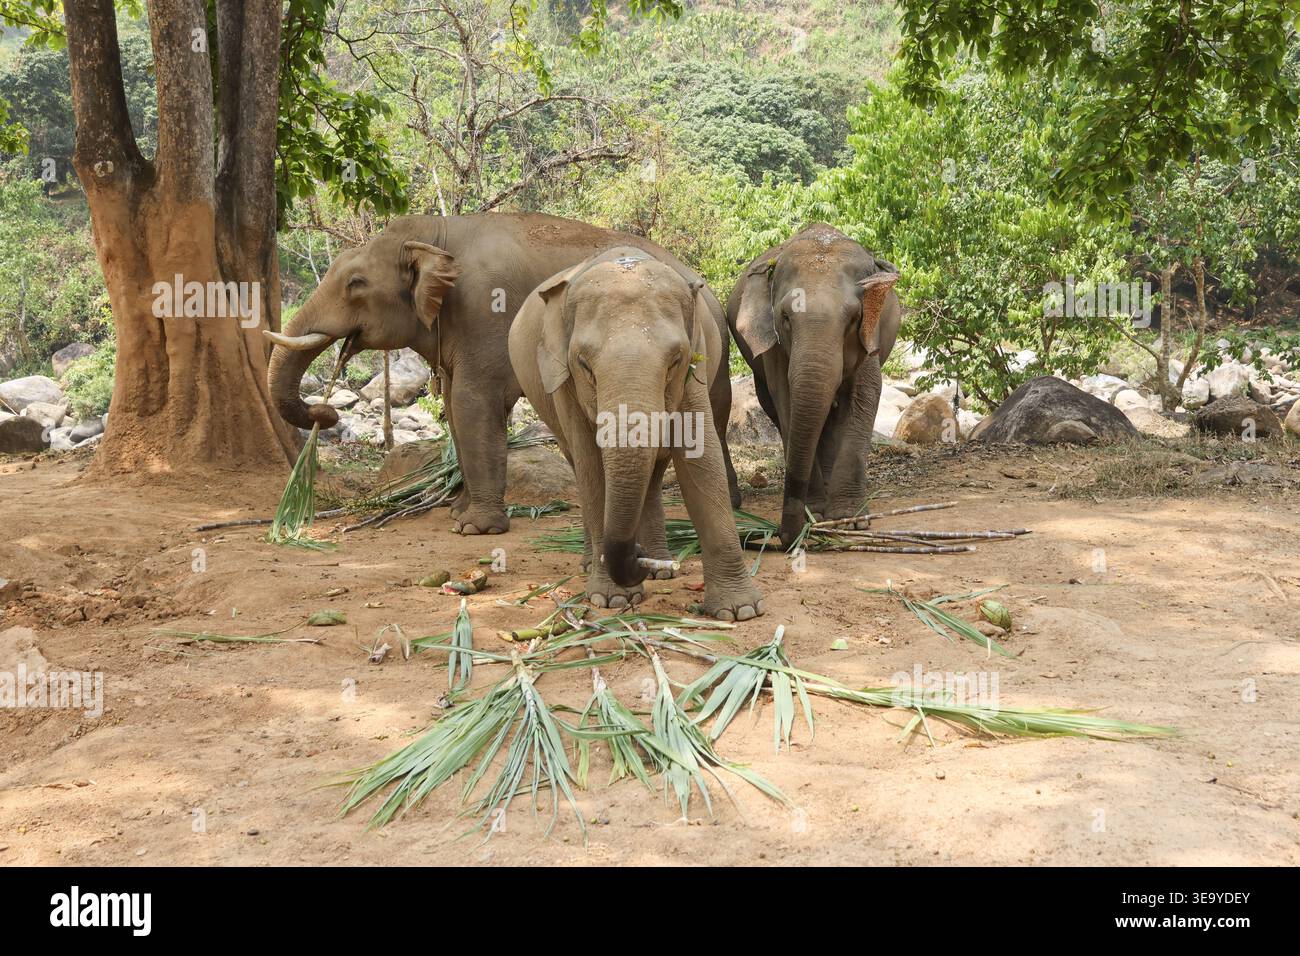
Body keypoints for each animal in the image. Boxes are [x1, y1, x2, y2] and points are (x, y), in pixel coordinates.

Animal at [266, 213, 742, 536]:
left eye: (356, 283)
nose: (326, 413)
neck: (437, 234)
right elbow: (453, 405)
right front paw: (458, 513)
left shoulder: (485, 308)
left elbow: (472, 403)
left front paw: (475, 528)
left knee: (714, 412)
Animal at [509, 246, 765, 622]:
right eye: (583, 364)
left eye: (676, 360)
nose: (637, 560)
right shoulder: (565, 383)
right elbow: (591, 465)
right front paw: (612, 599)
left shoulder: (696, 369)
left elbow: (701, 461)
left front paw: (741, 610)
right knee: (577, 464)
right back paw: (593, 564)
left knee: (655, 473)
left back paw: (661, 568)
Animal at [727, 223, 902, 547]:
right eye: (785, 317)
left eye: (855, 318)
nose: (783, 536)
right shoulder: (774, 349)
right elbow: (786, 400)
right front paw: (817, 514)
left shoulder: (871, 336)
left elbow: (865, 396)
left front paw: (850, 521)